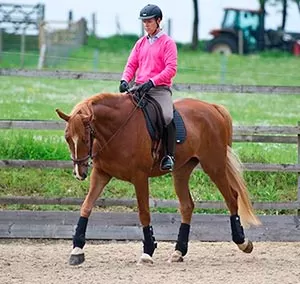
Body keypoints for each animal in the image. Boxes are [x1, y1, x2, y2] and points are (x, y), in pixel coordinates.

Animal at [55, 91, 260, 266]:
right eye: (67, 138)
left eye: (84, 139)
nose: (79, 173)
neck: (117, 129)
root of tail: (212, 107)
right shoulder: (101, 174)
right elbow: (86, 207)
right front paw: (77, 250)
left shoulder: (139, 177)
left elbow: (144, 213)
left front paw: (147, 251)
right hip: (182, 171)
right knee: (187, 206)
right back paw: (178, 252)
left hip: (214, 166)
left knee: (231, 198)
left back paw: (243, 242)